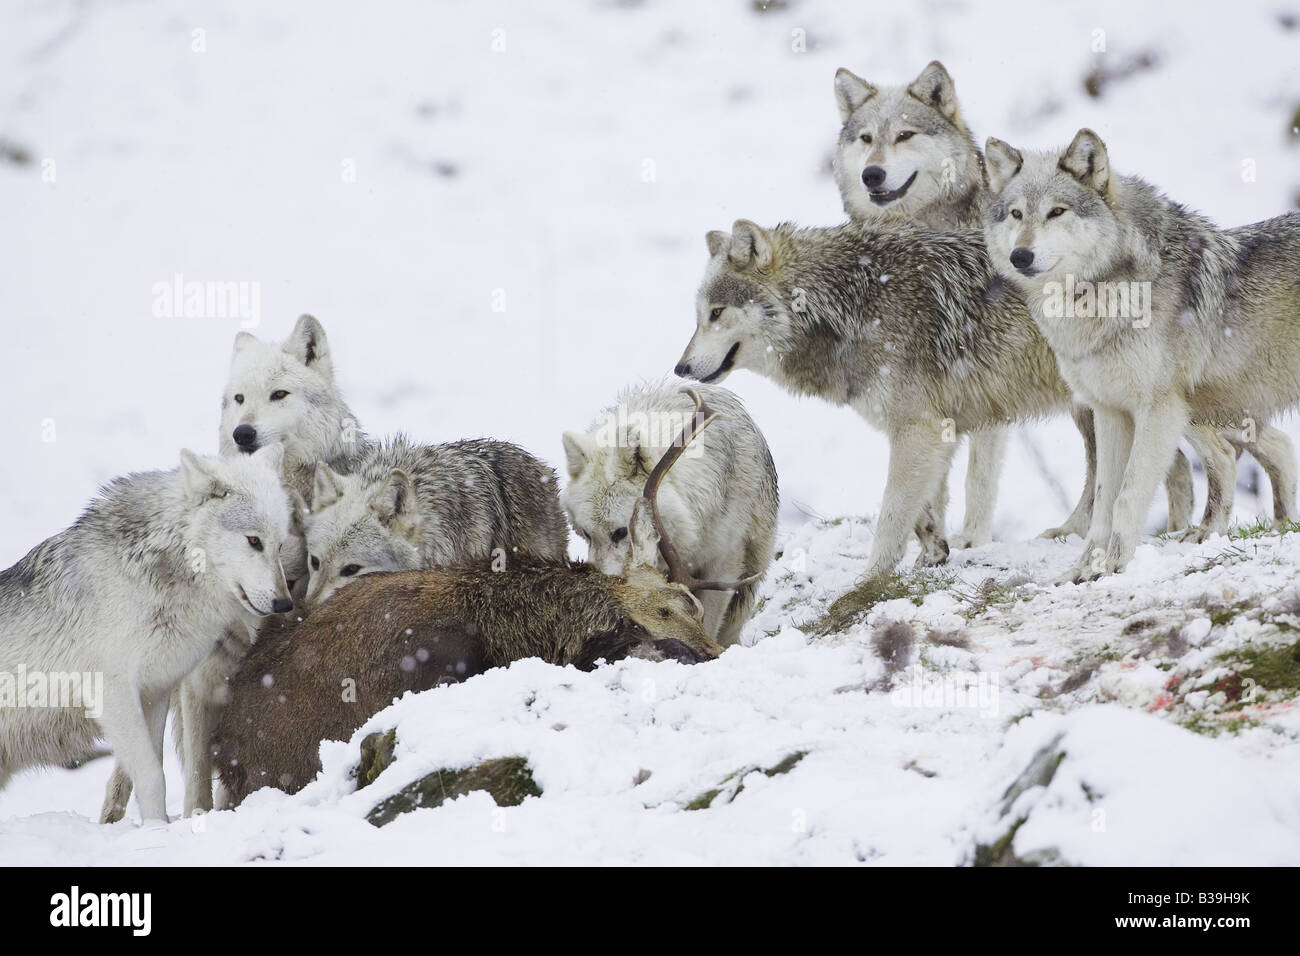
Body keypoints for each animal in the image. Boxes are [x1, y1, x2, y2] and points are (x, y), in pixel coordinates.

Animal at [0, 445, 293, 822]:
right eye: (254, 541)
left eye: (280, 546)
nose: (285, 603)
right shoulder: (112, 692)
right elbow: (152, 775)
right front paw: (158, 828)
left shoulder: (155, 690)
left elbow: (154, 768)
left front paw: (156, 826)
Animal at [673, 219, 1233, 575]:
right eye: (698, 315)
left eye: (716, 313)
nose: (680, 368)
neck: (851, 304)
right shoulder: (934, 429)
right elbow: (925, 506)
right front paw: (934, 552)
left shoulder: (918, 428)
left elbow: (890, 515)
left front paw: (868, 581)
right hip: (1100, 409)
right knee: (1153, 472)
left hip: (1157, 404)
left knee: (1221, 454)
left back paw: (1207, 532)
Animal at [831, 61, 1199, 544]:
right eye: (866, 138)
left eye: (905, 135)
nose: (871, 174)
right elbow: (934, 482)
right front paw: (931, 542)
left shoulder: (980, 387)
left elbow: (976, 477)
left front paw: (970, 541)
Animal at [982, 128, 1300, 580]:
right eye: (1015, 214)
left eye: (1056, 212)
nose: (1020, 255)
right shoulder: (1110, 411)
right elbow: (1103, 500)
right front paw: (1084, 569)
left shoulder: (1156, 408)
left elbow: (1127, 495)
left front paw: (1113, 565)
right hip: (1207, 407)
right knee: (1256, 451)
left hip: (1191, 411)